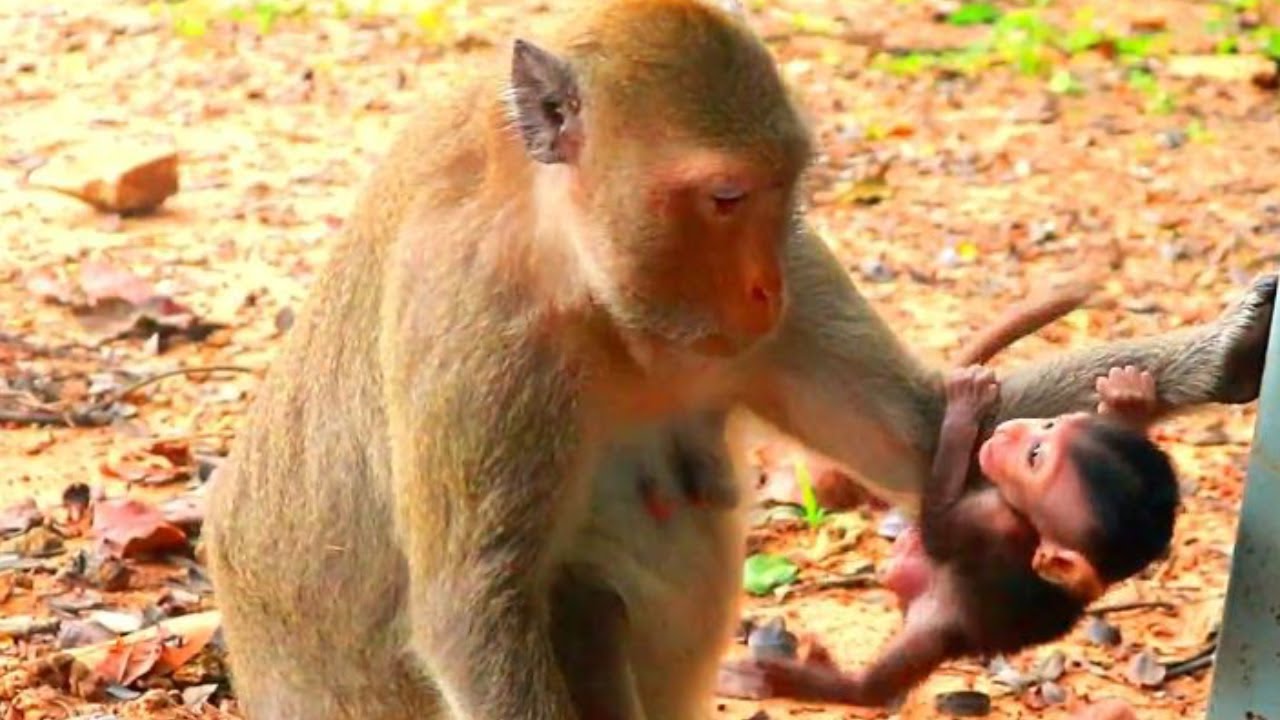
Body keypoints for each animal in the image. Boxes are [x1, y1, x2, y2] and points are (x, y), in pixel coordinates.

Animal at [716, 364, 1179, 706]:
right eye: (1053, 423)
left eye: (1034, 456)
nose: (1009, 432)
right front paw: (1129, 407)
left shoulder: (988, 520)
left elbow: (938, 529)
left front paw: (961, 415)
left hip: (935, 625)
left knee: (874, 688)